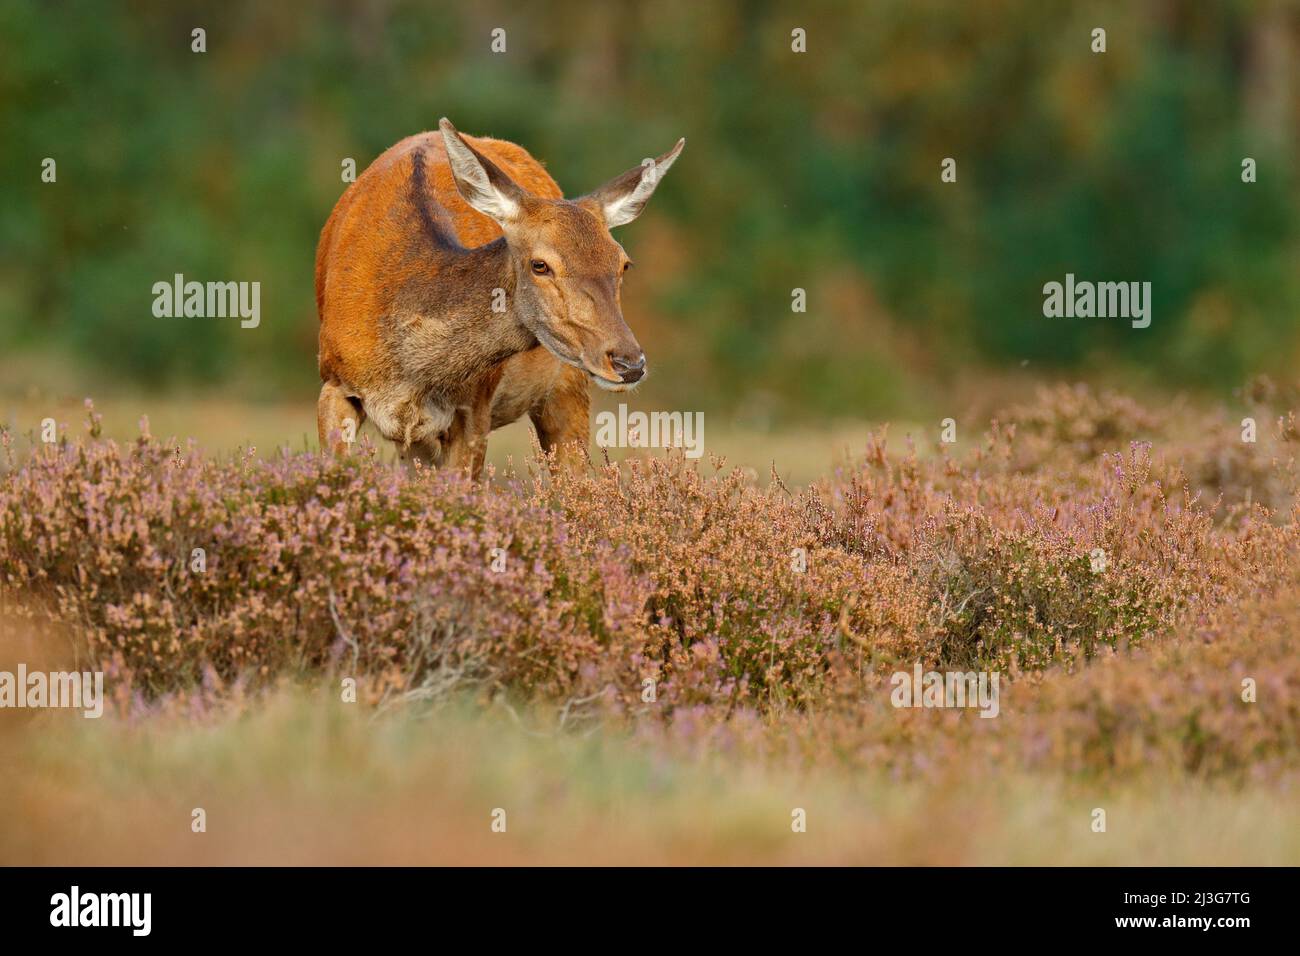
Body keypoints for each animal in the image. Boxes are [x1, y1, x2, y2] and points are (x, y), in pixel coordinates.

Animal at [314, 118, 684, 479]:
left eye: (623, 264)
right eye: (540, 265)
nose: (629, 363)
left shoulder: (476, 405)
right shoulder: (333, 381)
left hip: (568, 386)